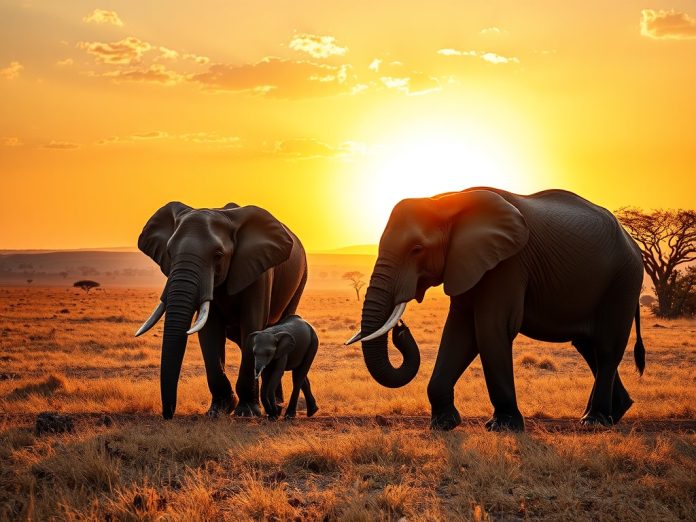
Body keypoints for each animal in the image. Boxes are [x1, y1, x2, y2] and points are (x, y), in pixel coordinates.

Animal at [135, 201, 307, 419]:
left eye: (217, 255)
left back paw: (277, 403)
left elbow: (252, 323)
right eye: (169, 253)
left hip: (300, 279)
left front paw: (247, 412)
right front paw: (218, 410)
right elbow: (209, 331)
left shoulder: (260, 271)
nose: (168, 414)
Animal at [346, 187, 646, 432]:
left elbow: (491, 328)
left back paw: (594, 421)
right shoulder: (466, 263)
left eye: (417, 249)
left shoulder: (509, 264)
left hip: (624, 279)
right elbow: (459, 331)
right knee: (587, 346)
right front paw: (444, 424)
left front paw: (503, 426)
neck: (447, 203)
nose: (401, 329)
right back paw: (614, 413)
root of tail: (632, 241)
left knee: (606, 348)